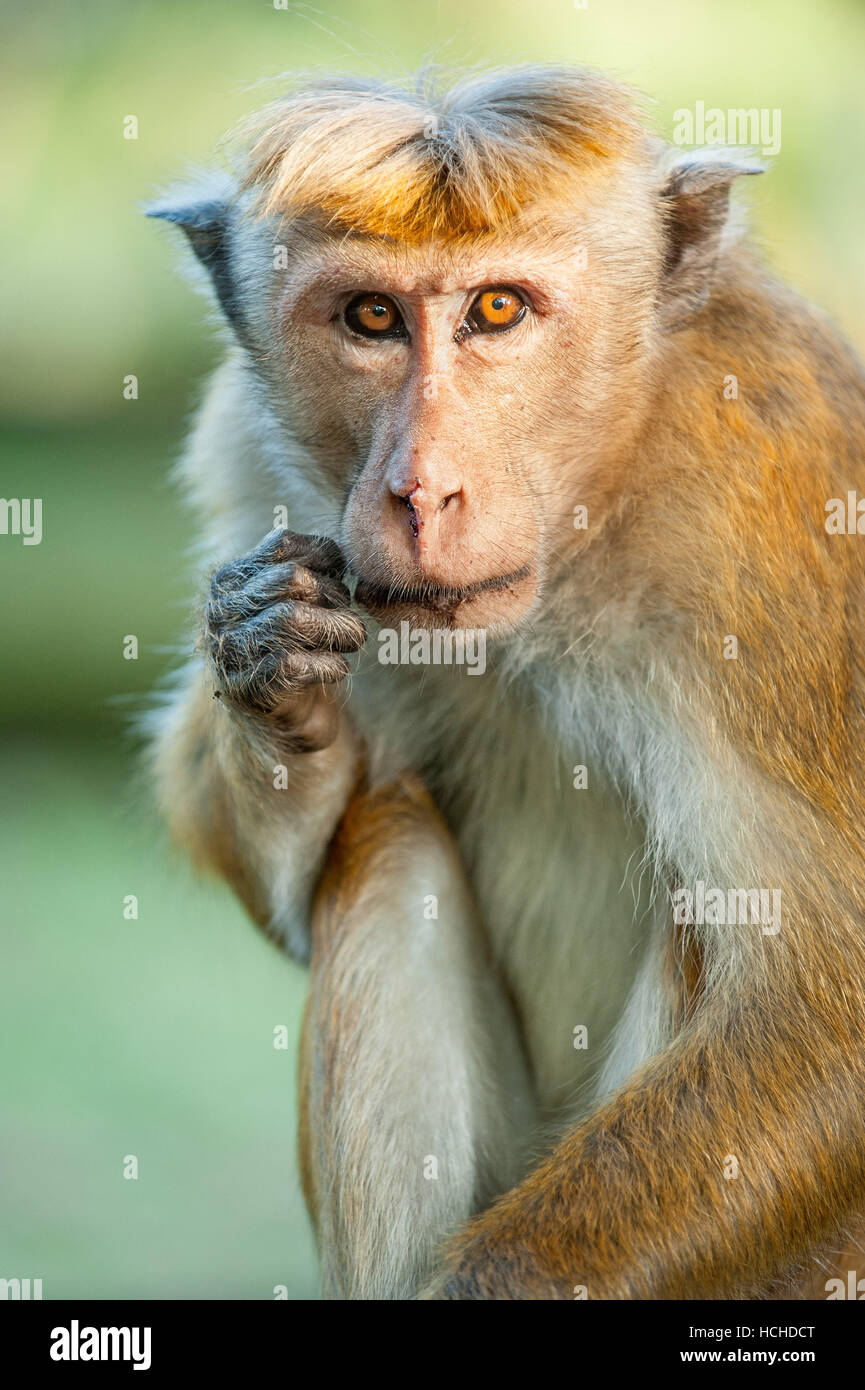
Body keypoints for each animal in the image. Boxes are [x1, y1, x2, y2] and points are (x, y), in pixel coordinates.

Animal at [148, 65, 865, 1300]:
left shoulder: (776, 530)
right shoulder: (246, 453)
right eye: (371, 318)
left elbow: (829, 991)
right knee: (385, 841)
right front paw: (268, 682)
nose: (421, 490)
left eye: (496, 311)